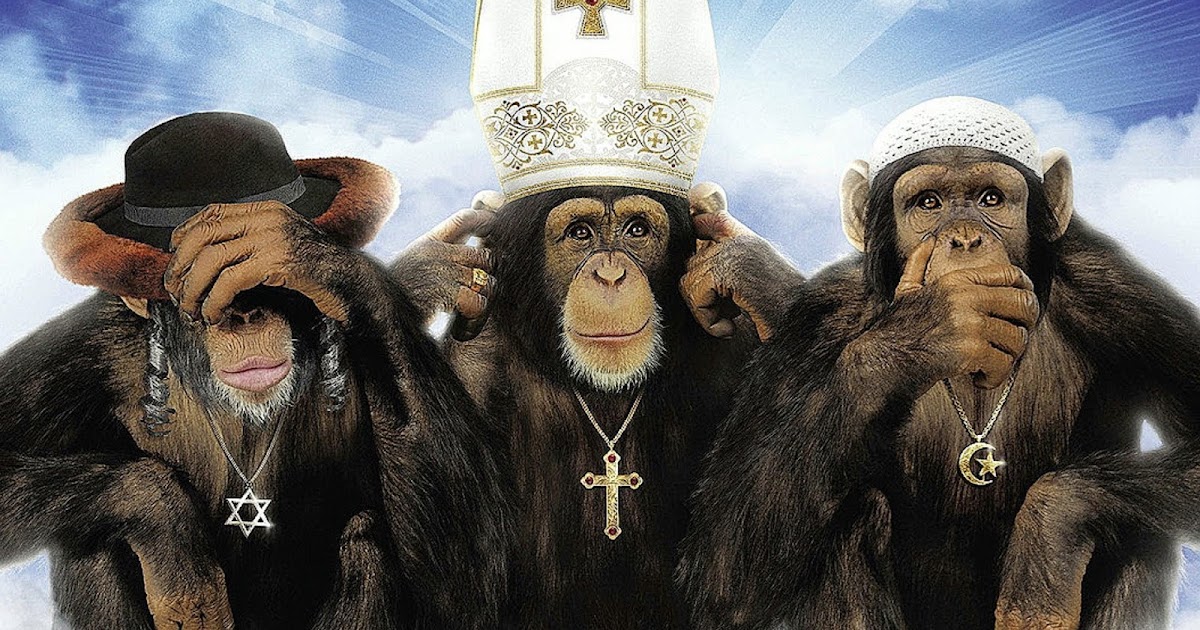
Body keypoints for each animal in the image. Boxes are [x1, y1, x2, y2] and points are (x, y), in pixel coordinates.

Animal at [390, 182, 803, 629]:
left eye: (636, 229)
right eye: (580, 232)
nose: (610, 274)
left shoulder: (739, 343)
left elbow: (734, 576)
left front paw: (744, 266)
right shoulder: (472, 367)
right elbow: (451, 590)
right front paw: (425, 275)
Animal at [678, 101, 1200, 630]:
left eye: (990, 198)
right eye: (928, 203)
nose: (965, 239)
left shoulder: (1117, 291)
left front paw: (1050, 531)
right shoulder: (817, 321)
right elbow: (721, 566)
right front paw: (935, 324)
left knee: (1138, 528)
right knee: (847, 514)